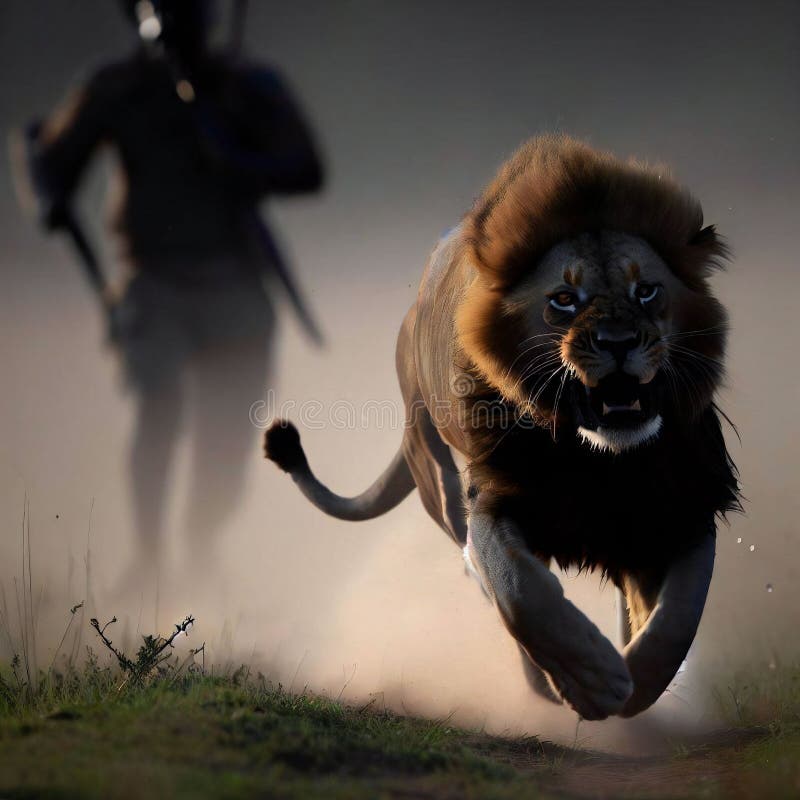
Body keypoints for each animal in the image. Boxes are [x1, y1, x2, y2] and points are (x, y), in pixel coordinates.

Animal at [264, 135, 740, 720]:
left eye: (646, 291)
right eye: (564, 300)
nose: (619, 342)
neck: (597, 459)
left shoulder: (682, 501)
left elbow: (678, 617)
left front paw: (639, 685)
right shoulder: (494, 500)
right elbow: (520, 591)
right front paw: (593, 679)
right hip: (439, 479)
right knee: (484, 574)